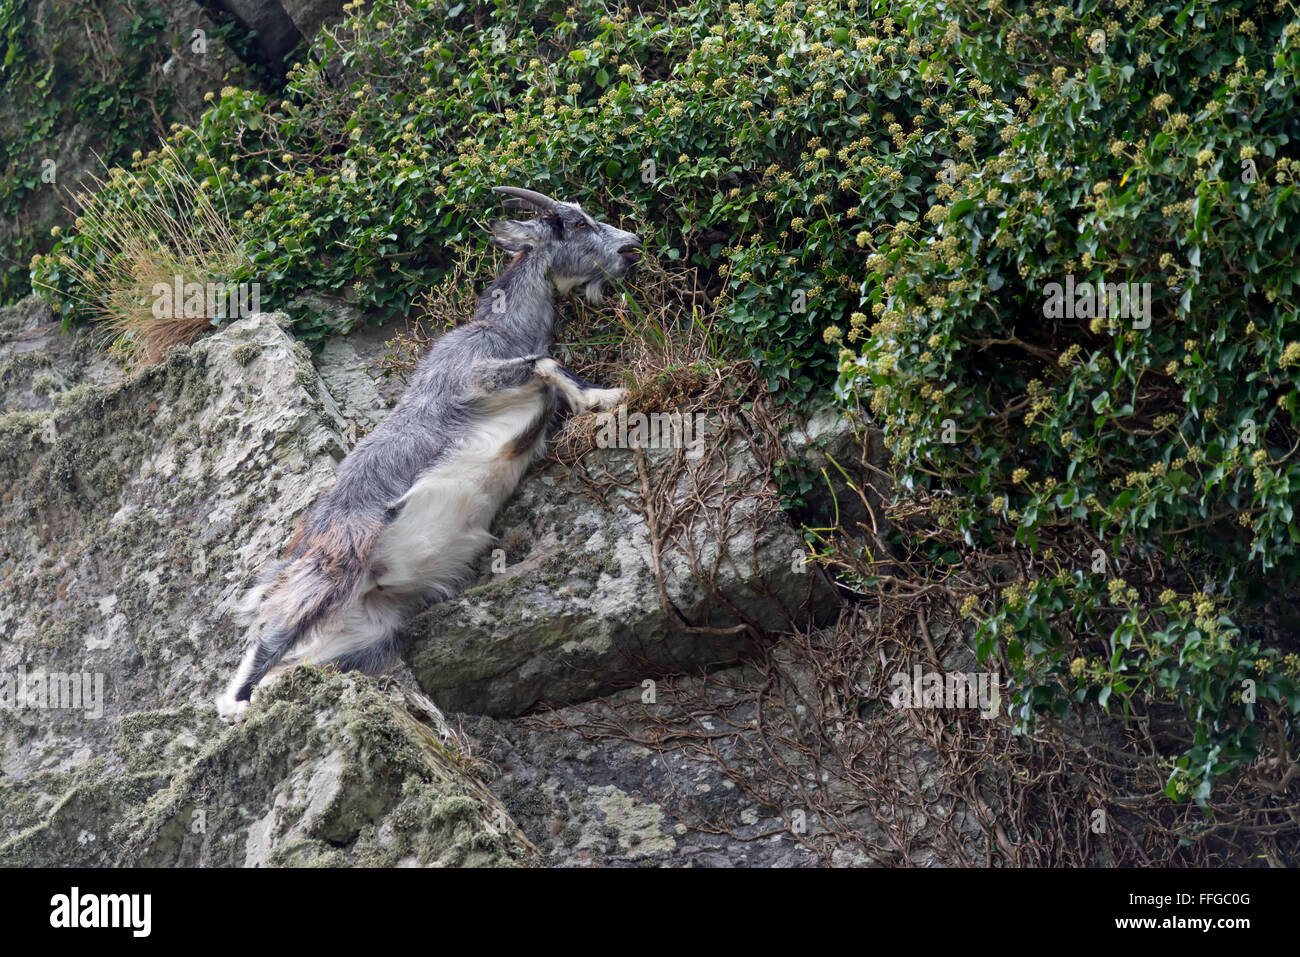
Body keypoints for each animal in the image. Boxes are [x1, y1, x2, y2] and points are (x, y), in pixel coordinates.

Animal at [216, 186, 642, 721]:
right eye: (578, 223)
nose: (633, 244)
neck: (500, 330)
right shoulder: (470, 379)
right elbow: (547, 362)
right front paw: (608, 396)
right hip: (334, 565)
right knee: (270, 635)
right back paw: (236, 707)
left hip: (367, 635)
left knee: (298, 660)